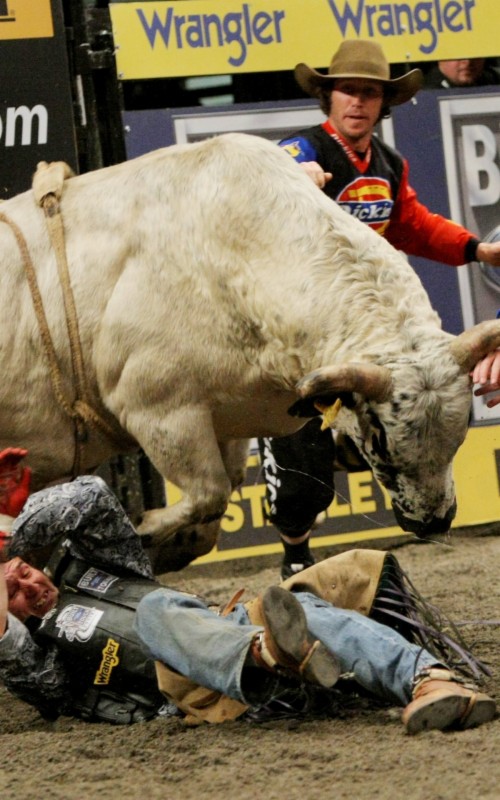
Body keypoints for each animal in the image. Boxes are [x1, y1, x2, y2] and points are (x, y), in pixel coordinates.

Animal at [0, 132, 498, 573]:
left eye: (462, 427)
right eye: (377, 435)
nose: (433, 521)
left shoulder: (226, 418)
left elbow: (220, 499)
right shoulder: (157, 408)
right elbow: (209, 492)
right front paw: (147, 531)